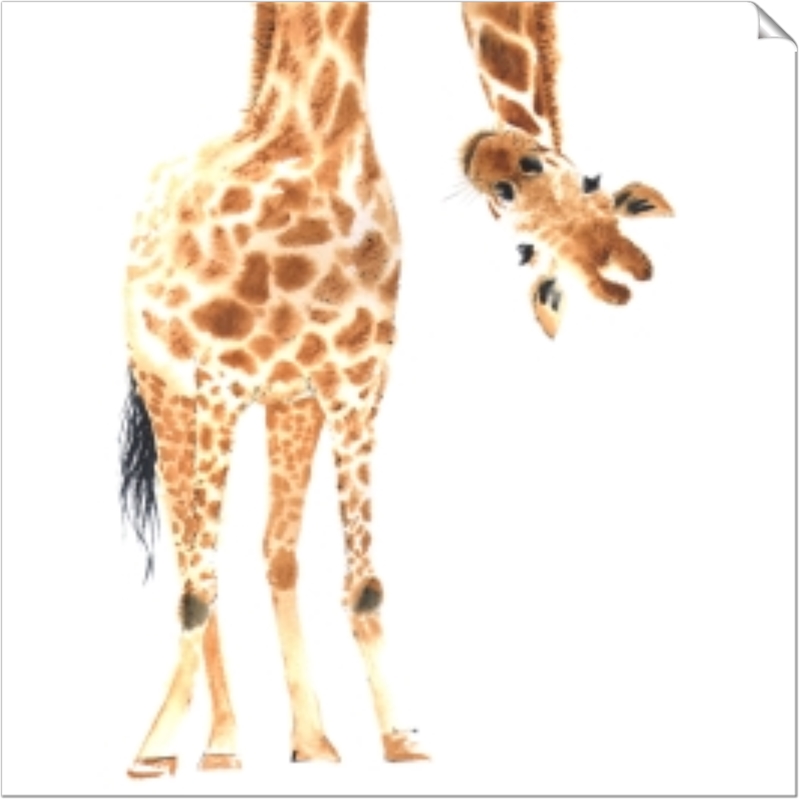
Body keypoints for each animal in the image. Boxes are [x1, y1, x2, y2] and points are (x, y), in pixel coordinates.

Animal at [119, 2, 426, 777]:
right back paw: (216, 743)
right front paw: (154, 749)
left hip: (287, 404)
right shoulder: (221, 382)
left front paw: (401, 738)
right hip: (169, 395)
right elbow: (197, 588)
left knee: (273, 550)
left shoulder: (356, 382)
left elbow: (365, 582)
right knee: (191, 555)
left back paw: (310, 739)